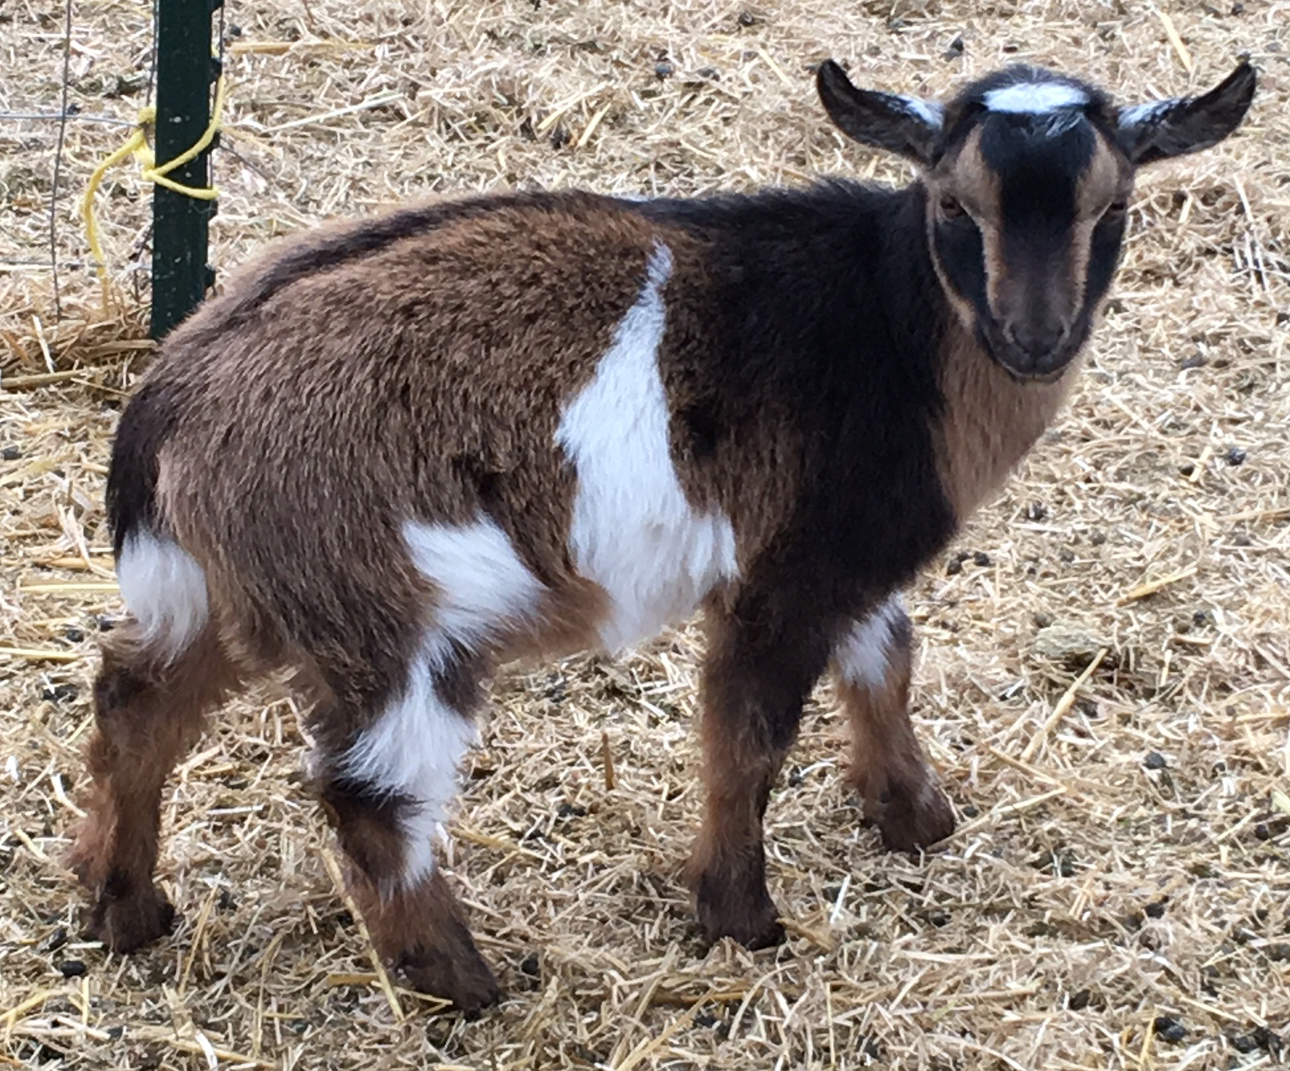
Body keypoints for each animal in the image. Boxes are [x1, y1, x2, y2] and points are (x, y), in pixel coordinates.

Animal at [69, 58, 1255, 1012]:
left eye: (1114, 204)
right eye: (955, 203)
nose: (1034, 337)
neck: (894, 328)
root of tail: (174, 396)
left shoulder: (850, 561)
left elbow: (887, 662)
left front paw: (915, 819)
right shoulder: (784, 575)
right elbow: (749, 733)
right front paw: (741, 916)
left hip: (242, 593)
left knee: (136, 694)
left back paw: (126, 907)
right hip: (384, 621)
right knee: (368, 799)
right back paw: (464, 980)